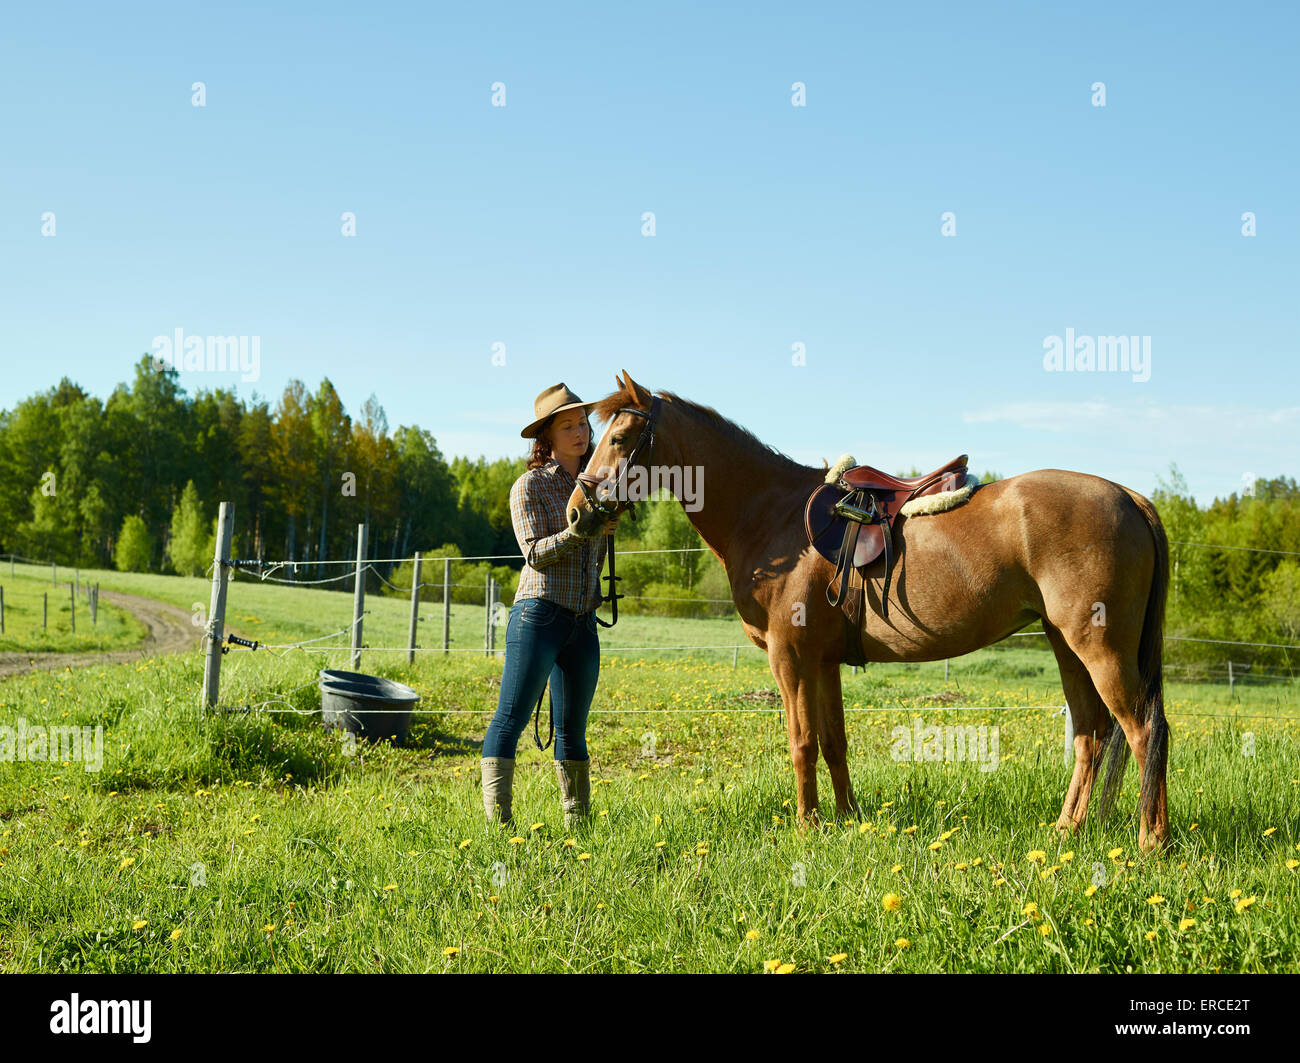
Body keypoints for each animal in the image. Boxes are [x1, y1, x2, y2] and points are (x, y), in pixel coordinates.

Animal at [565, 371, 1170, 852]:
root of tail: (1130, 496)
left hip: (1099, 648)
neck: (771, 516)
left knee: (1145, 730)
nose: (577, 511)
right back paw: (1067, 830)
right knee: (1092, 734)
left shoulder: (790, 657)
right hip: (1065, 645)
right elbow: (834, 742)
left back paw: (1152, 842)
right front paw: (847, 818)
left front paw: (808, 826)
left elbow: (801, 742)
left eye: (620, 438)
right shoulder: (823, 661)